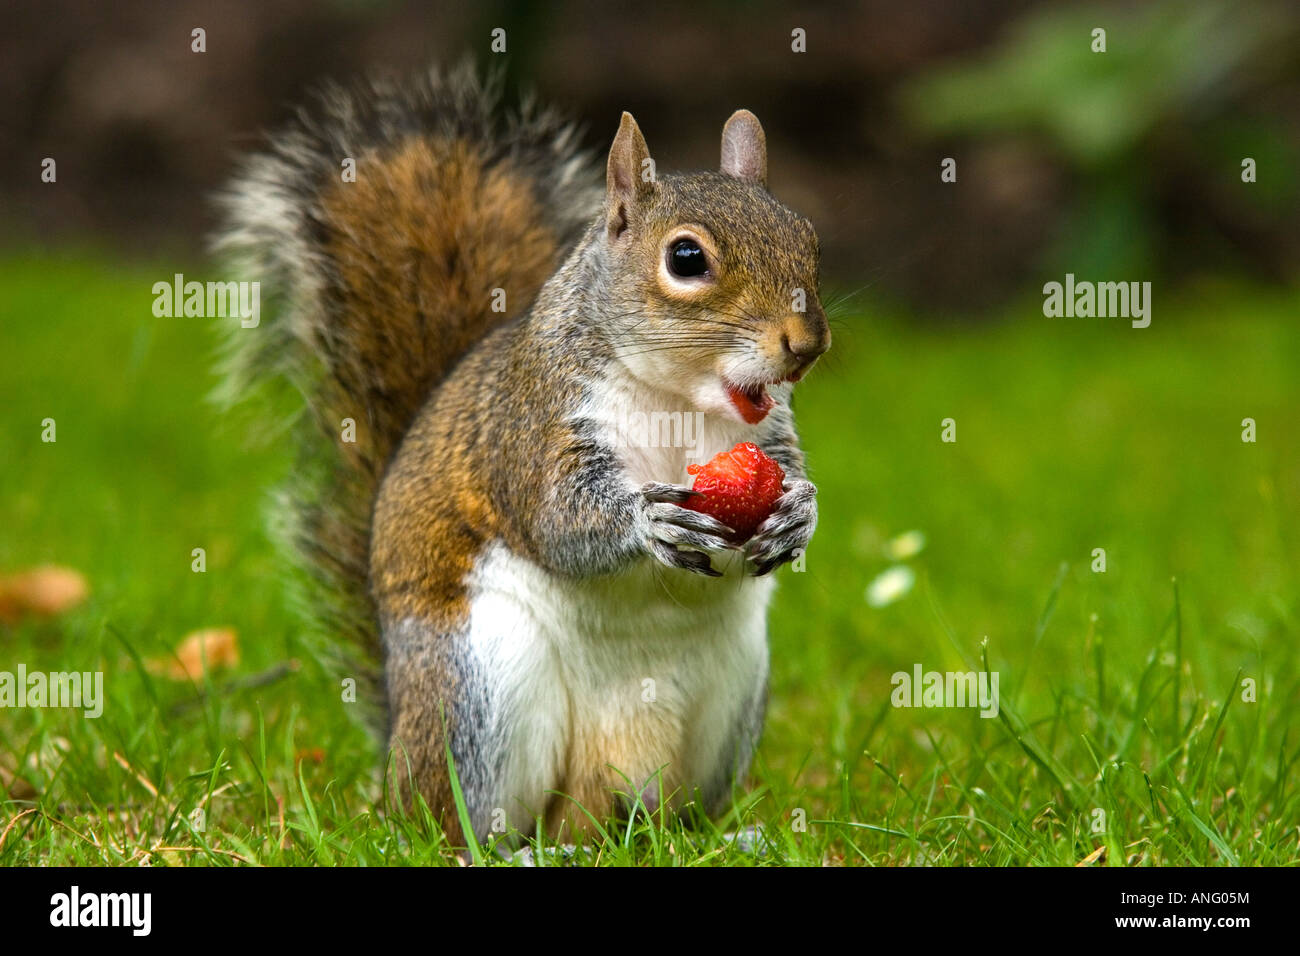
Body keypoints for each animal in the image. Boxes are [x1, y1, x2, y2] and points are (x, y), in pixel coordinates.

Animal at [215, 65, 830, 844]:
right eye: (686, 258)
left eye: (809, 239)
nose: (806, 345)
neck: (681, 398)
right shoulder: (534, 429)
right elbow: (556, 520)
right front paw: (646, 522)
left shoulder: (769, 439)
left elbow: (791, 477)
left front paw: (798, 515)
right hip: (482, 688)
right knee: (462, 822)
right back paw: (515, 850)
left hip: (731, 696)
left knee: (663, 816)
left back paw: (713, 835)